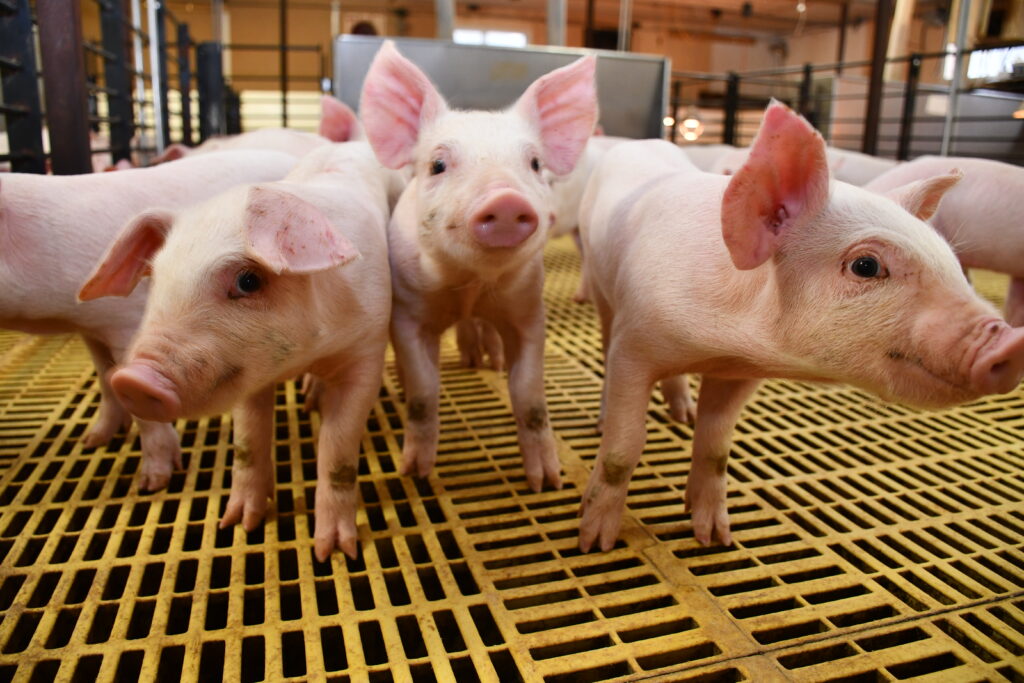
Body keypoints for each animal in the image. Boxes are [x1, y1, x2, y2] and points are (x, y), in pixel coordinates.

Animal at [0, 150, 298, 490]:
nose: (88, 441)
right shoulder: (91, 329)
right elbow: (105, 379)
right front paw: (93, 440)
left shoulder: (126, 323)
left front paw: (151, 484)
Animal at [79, 142, 402, 560]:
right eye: (158, 278)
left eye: (248, 280)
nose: (133, 381)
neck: (307, 352)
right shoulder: (247, 377)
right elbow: (248, 440)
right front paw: (239, 524)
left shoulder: (366, 352)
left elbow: (338, 451)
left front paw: (333, 552)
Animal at [358, 40, 598, 491]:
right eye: (437, 165)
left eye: (535, 164)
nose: (505, 200)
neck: (470, 283)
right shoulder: (408, 313)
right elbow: (424, 393)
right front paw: (415, 472)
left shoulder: (528, 311)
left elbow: (529, 395)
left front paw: (546, 482)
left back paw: (487, 361)